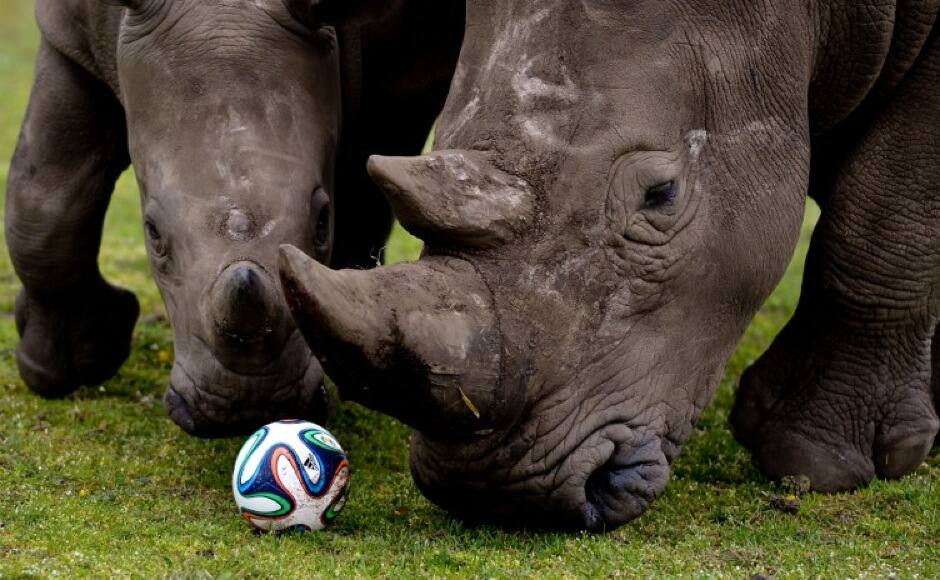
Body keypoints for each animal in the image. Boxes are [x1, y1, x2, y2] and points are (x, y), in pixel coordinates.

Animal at [5, 0, 463, 436]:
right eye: (153, 235)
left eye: (321, 223)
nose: (249, 409)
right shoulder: (67, 35)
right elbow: (45, 196)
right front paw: (64, 369)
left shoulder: (401, 74)